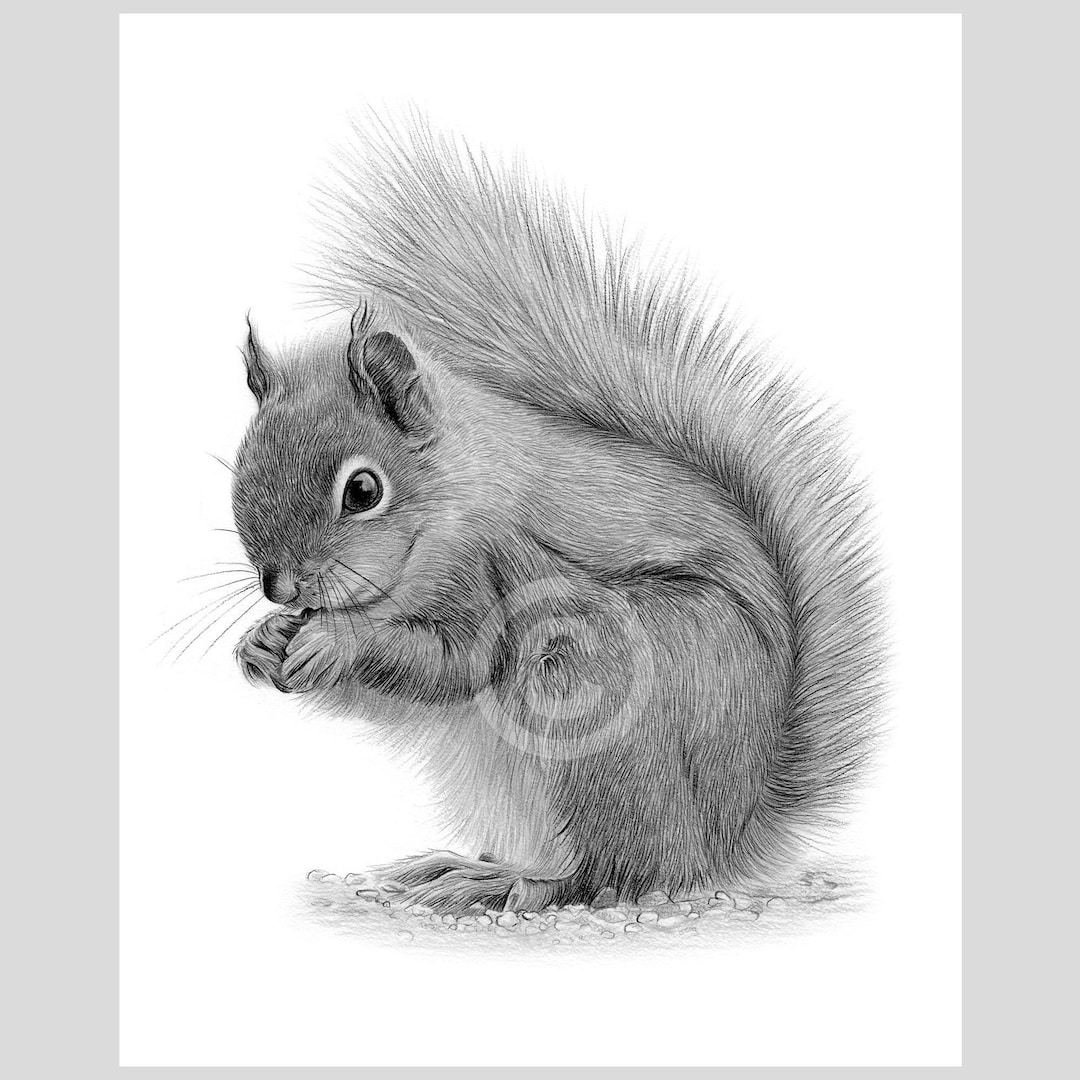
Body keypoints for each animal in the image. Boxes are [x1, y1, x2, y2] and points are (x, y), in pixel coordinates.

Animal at [231, 116, 885, 914]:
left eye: (362, 490)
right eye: (242, 462)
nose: (280, 586)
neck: (454, 495)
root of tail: (722, 837)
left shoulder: (491, 564)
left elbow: (458, 663)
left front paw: (337, 640)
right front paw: (261, 642)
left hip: (597, 694)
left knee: (619, 873)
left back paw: (513, 882)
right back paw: (457, 864)